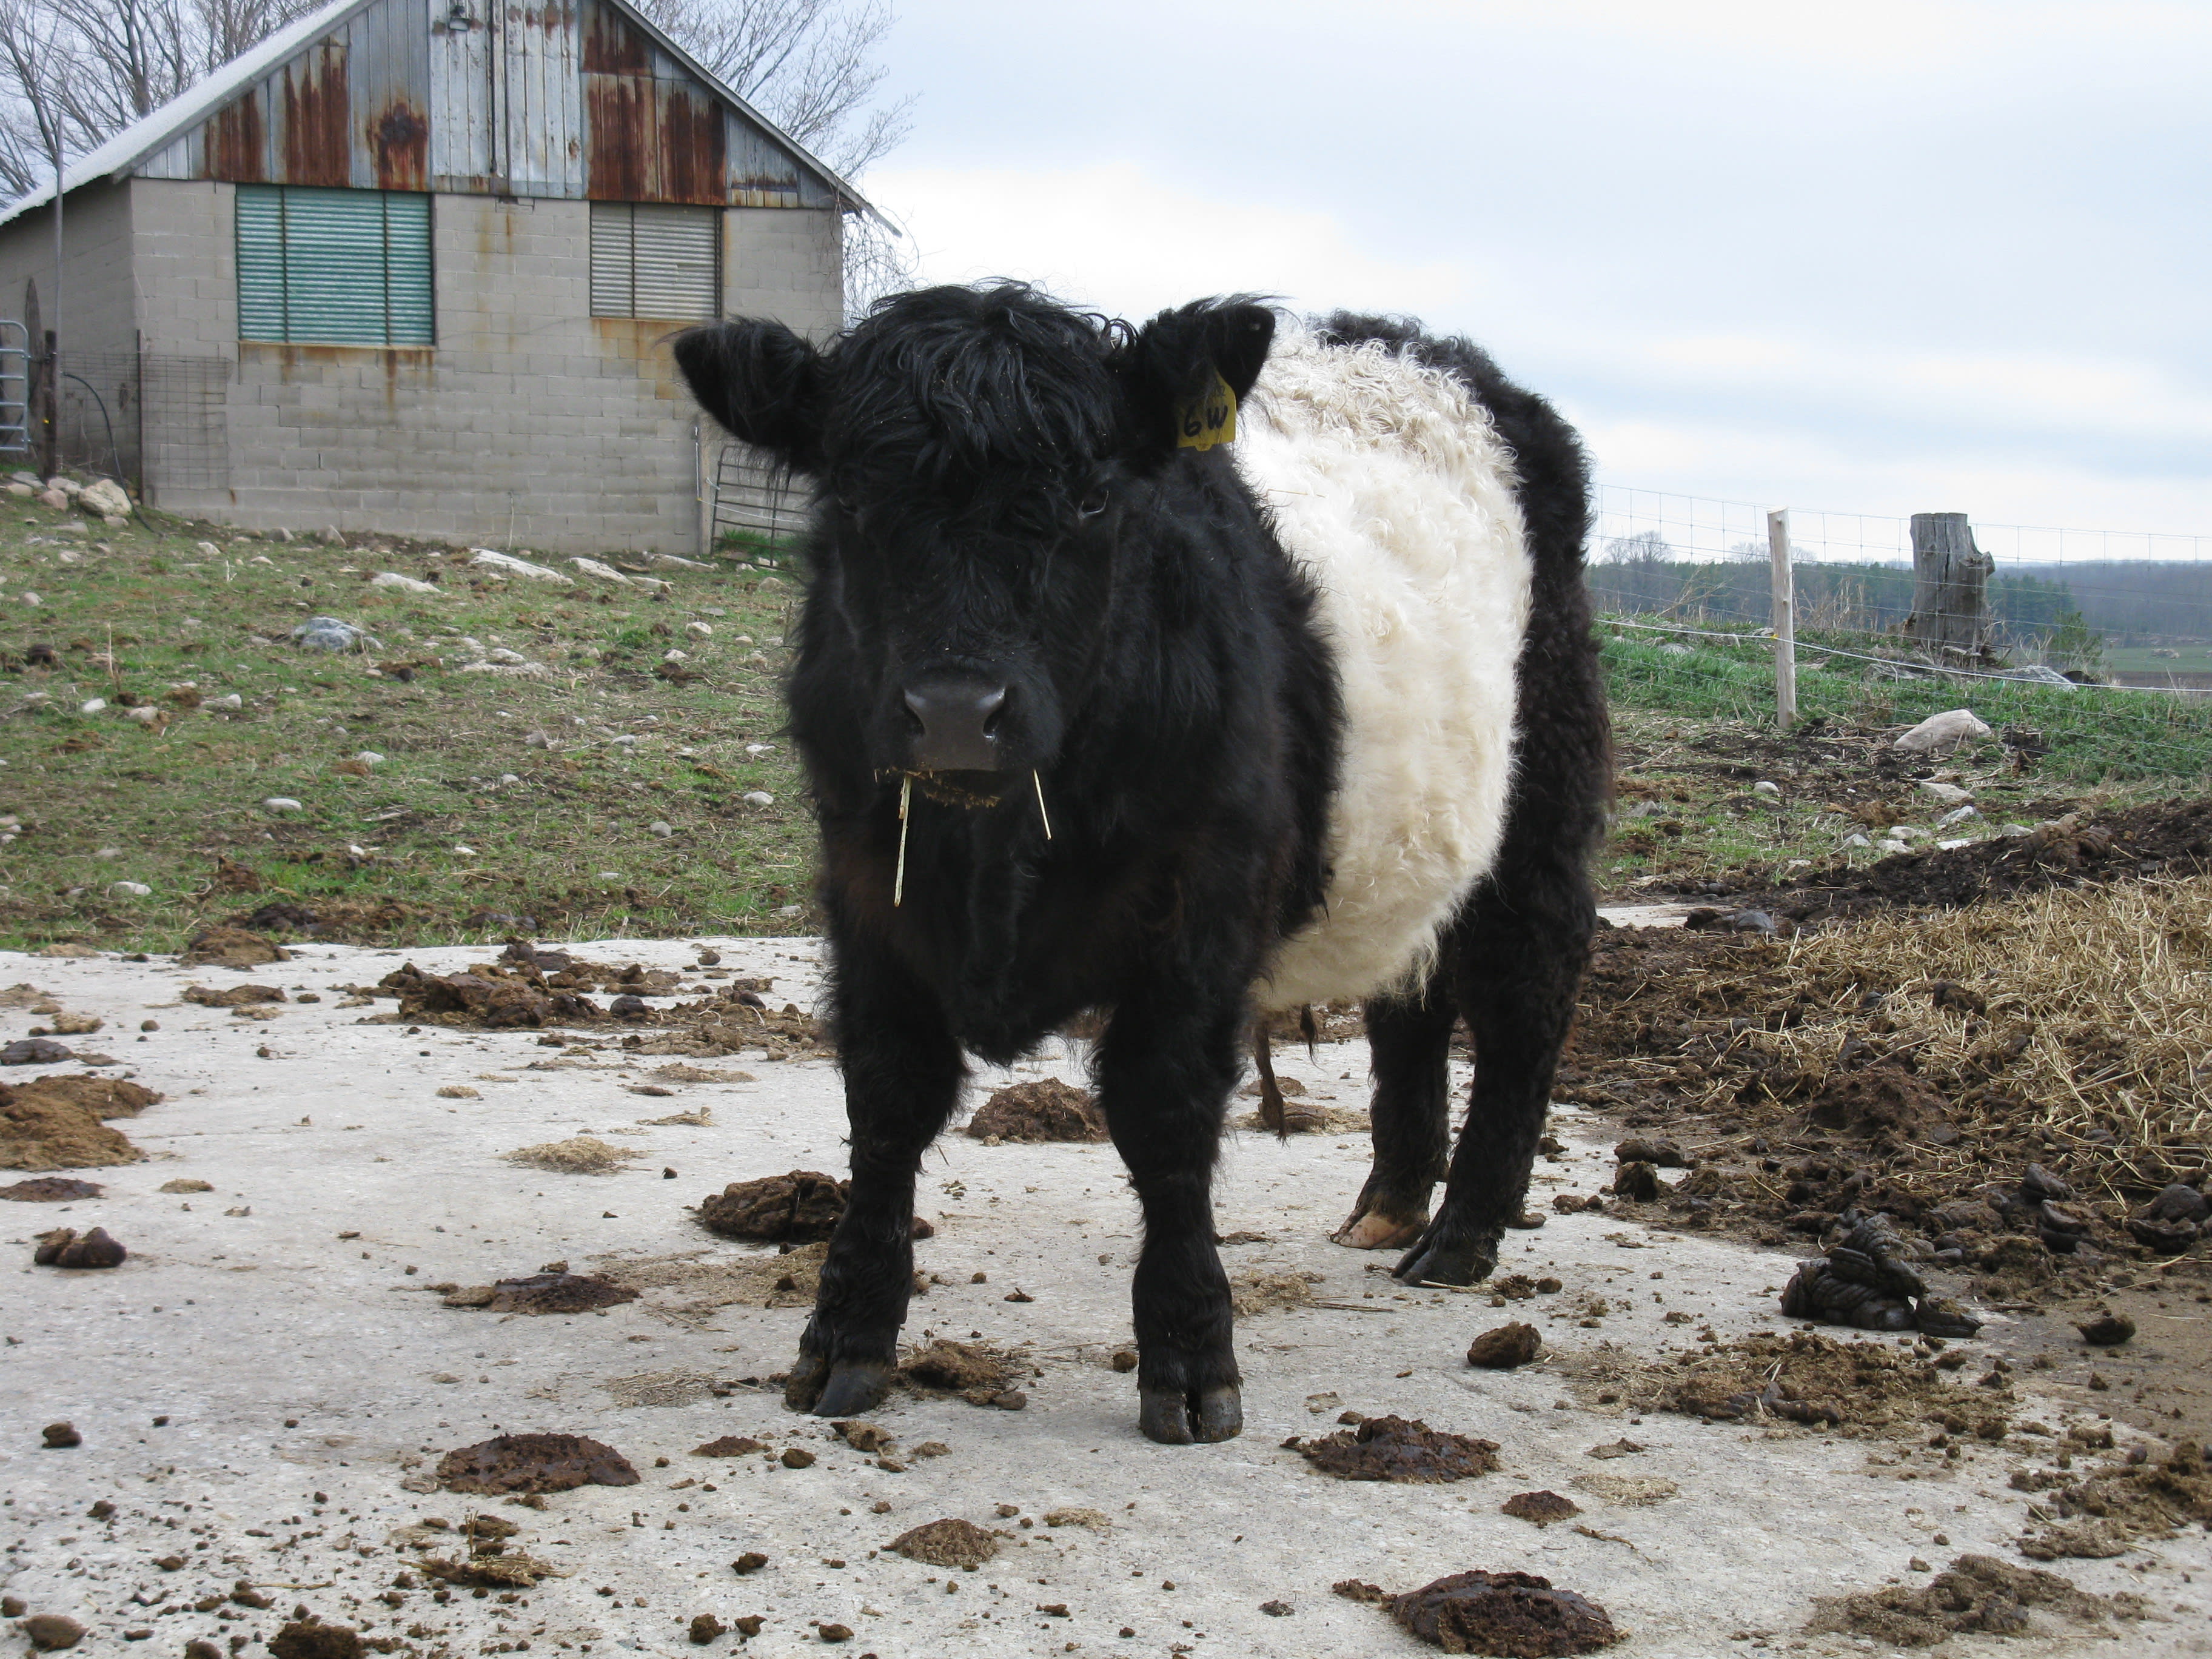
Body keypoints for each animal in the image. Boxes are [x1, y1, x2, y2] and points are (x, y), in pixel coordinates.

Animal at [672, 284, 1609, 1446]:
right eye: (848, 496)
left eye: (1090, 502)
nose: (954, 714)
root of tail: (1429, 349)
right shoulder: (865, 893)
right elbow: (887, 1106)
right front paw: (844, 1339)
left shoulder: (1199, 911)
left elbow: (1164, 1116)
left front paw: (1190, 1356)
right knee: (1413, 998)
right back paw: (1390, 1206)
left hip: (1539, 813)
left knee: (1525, 992)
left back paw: (1464, 1233)